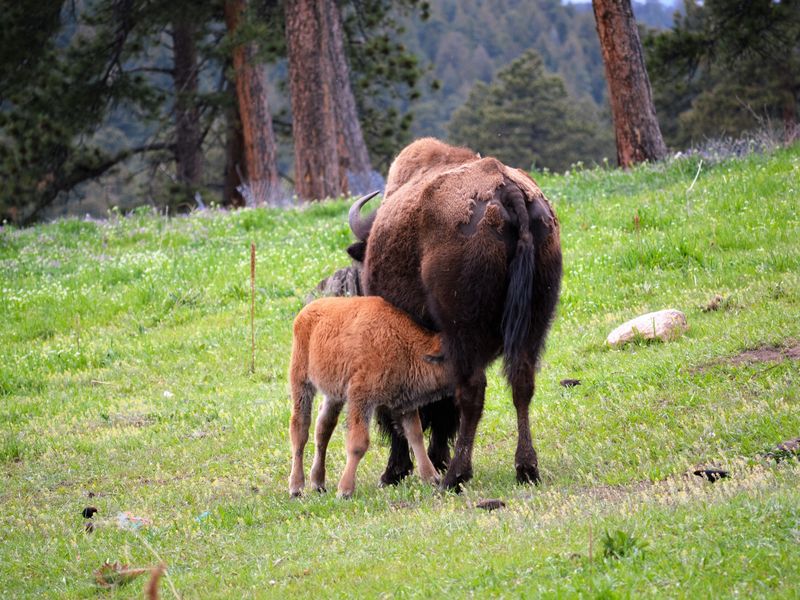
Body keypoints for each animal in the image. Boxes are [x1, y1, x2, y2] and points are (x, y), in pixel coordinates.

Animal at [348, 138, 562, 490]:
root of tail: (507, 190)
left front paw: (395, 471)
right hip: (534, 322)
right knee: (522, 384)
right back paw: (526, 469)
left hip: (463, 332)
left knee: (472, 393)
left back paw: (455, 476)